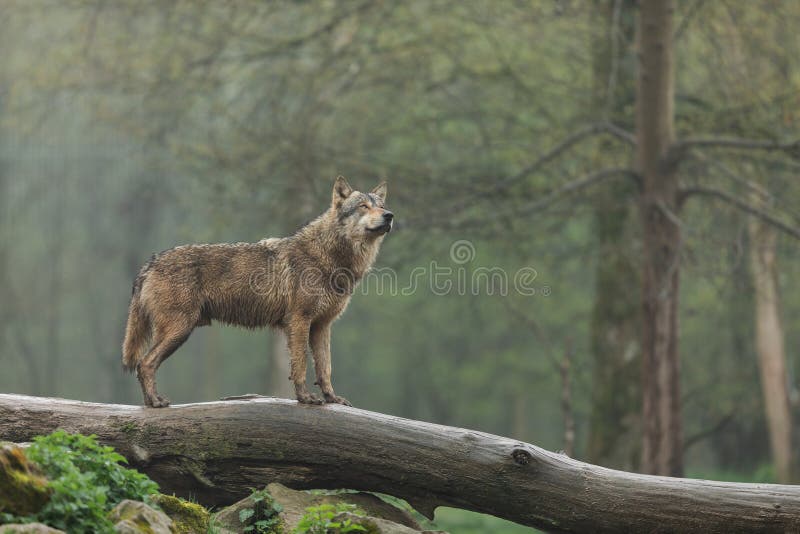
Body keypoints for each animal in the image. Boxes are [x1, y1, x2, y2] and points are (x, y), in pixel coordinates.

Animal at [122, 176, 393, 408]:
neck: (329, 258)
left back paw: (150, 402)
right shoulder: (299, 321)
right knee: (144, 364)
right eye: (363, 206)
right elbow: (301, 365)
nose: (390, 216)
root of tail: (150, 262)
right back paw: (155, 402)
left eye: (381, 206)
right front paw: (305, 398)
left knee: (144, 365)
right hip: (179, 330)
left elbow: (325, 368)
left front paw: (332, 398)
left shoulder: (322, 326)